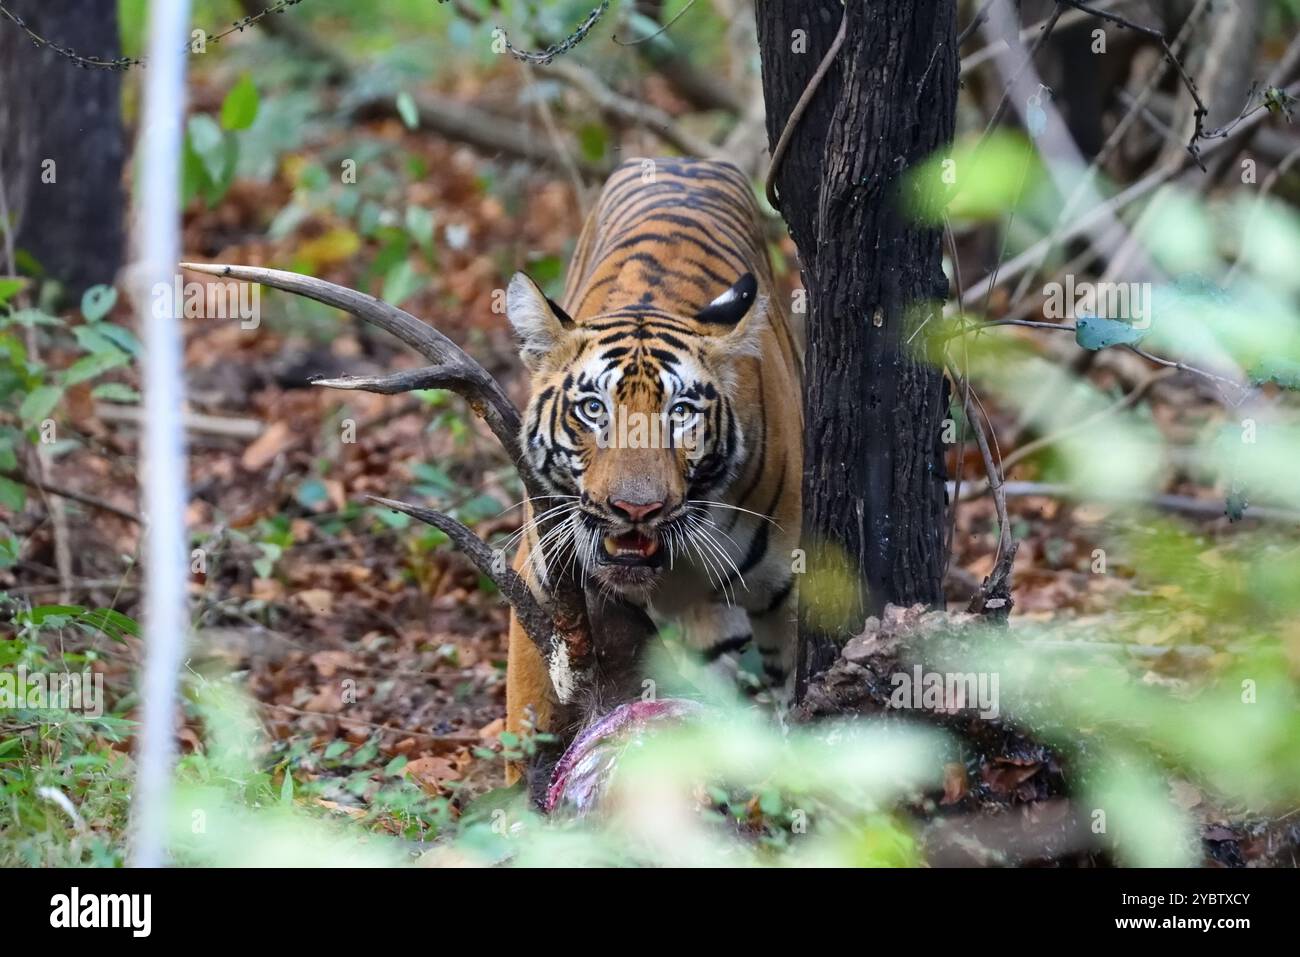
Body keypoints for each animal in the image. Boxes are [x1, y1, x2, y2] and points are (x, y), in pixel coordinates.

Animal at [502, 157, 803, 769]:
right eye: (593, 409)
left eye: (680, 413)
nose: (635, 509)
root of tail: (683, 160)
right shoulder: (540, 574)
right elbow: (529, 709)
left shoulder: (791, 588)